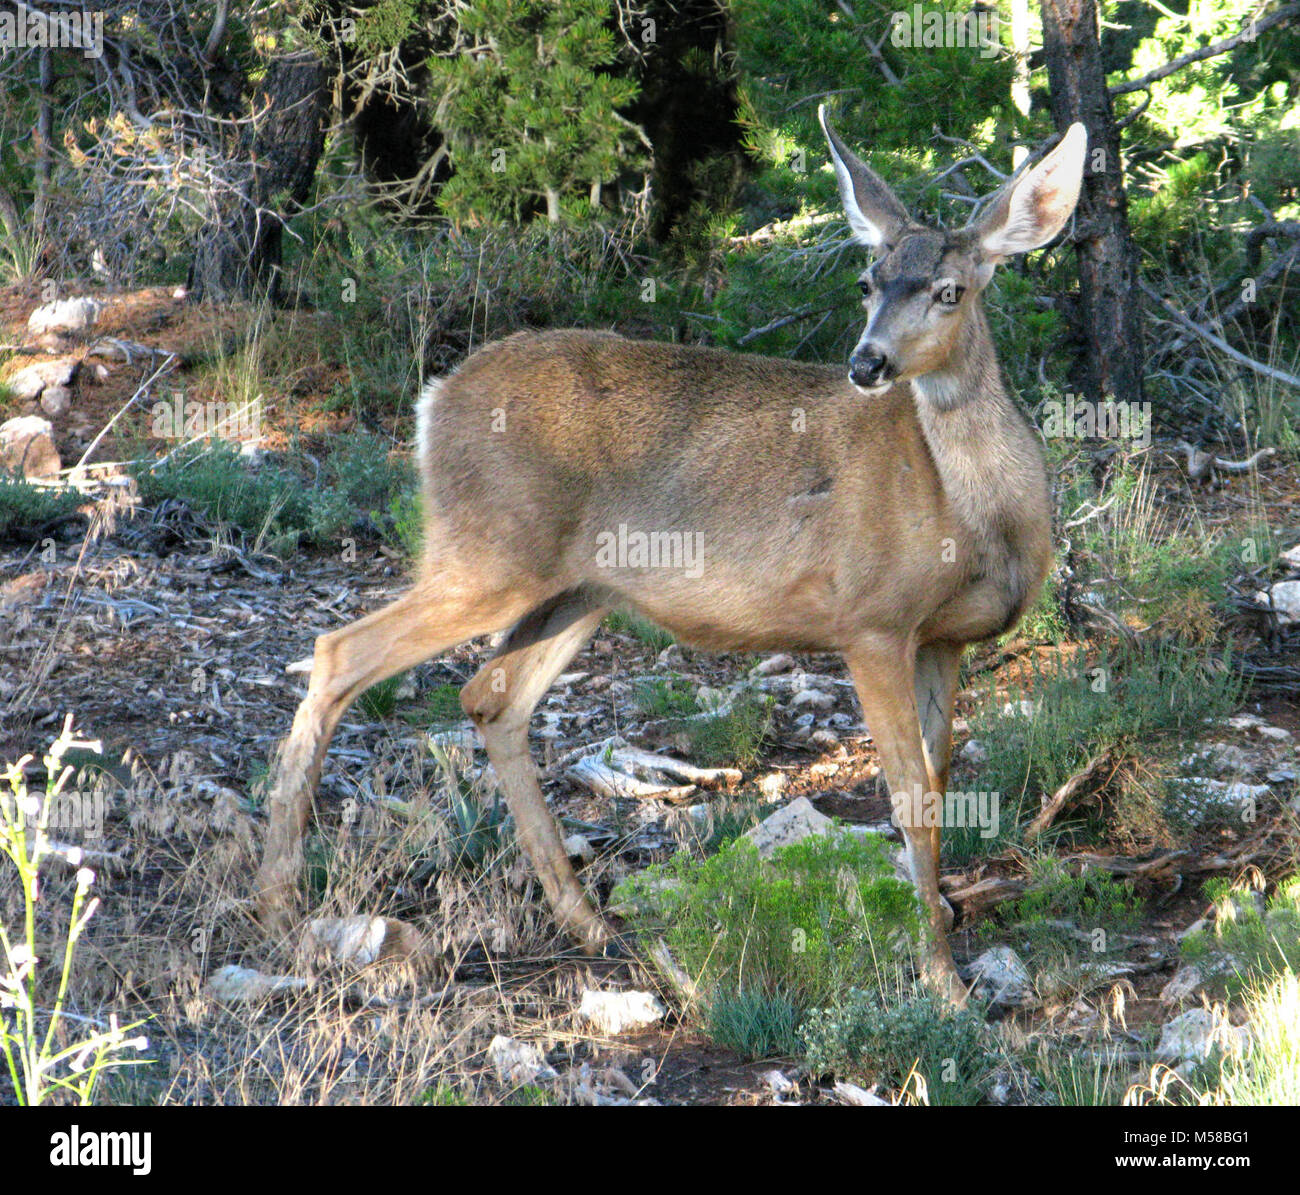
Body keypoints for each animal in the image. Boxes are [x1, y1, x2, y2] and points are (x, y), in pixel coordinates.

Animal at [255, 109, 1087, 1004]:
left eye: (949, 290)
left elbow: (937, 785)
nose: (867, 363)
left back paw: (590, 923)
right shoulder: (870, 620)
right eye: (867, 282)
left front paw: (944, 941)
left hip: (578, 589)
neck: (973, 514)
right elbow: (906, 799)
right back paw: (279, 904)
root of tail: (431, 400)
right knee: (340, 653)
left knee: (490, 696)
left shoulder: (943, 638)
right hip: (488, 552)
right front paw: (941, 976)